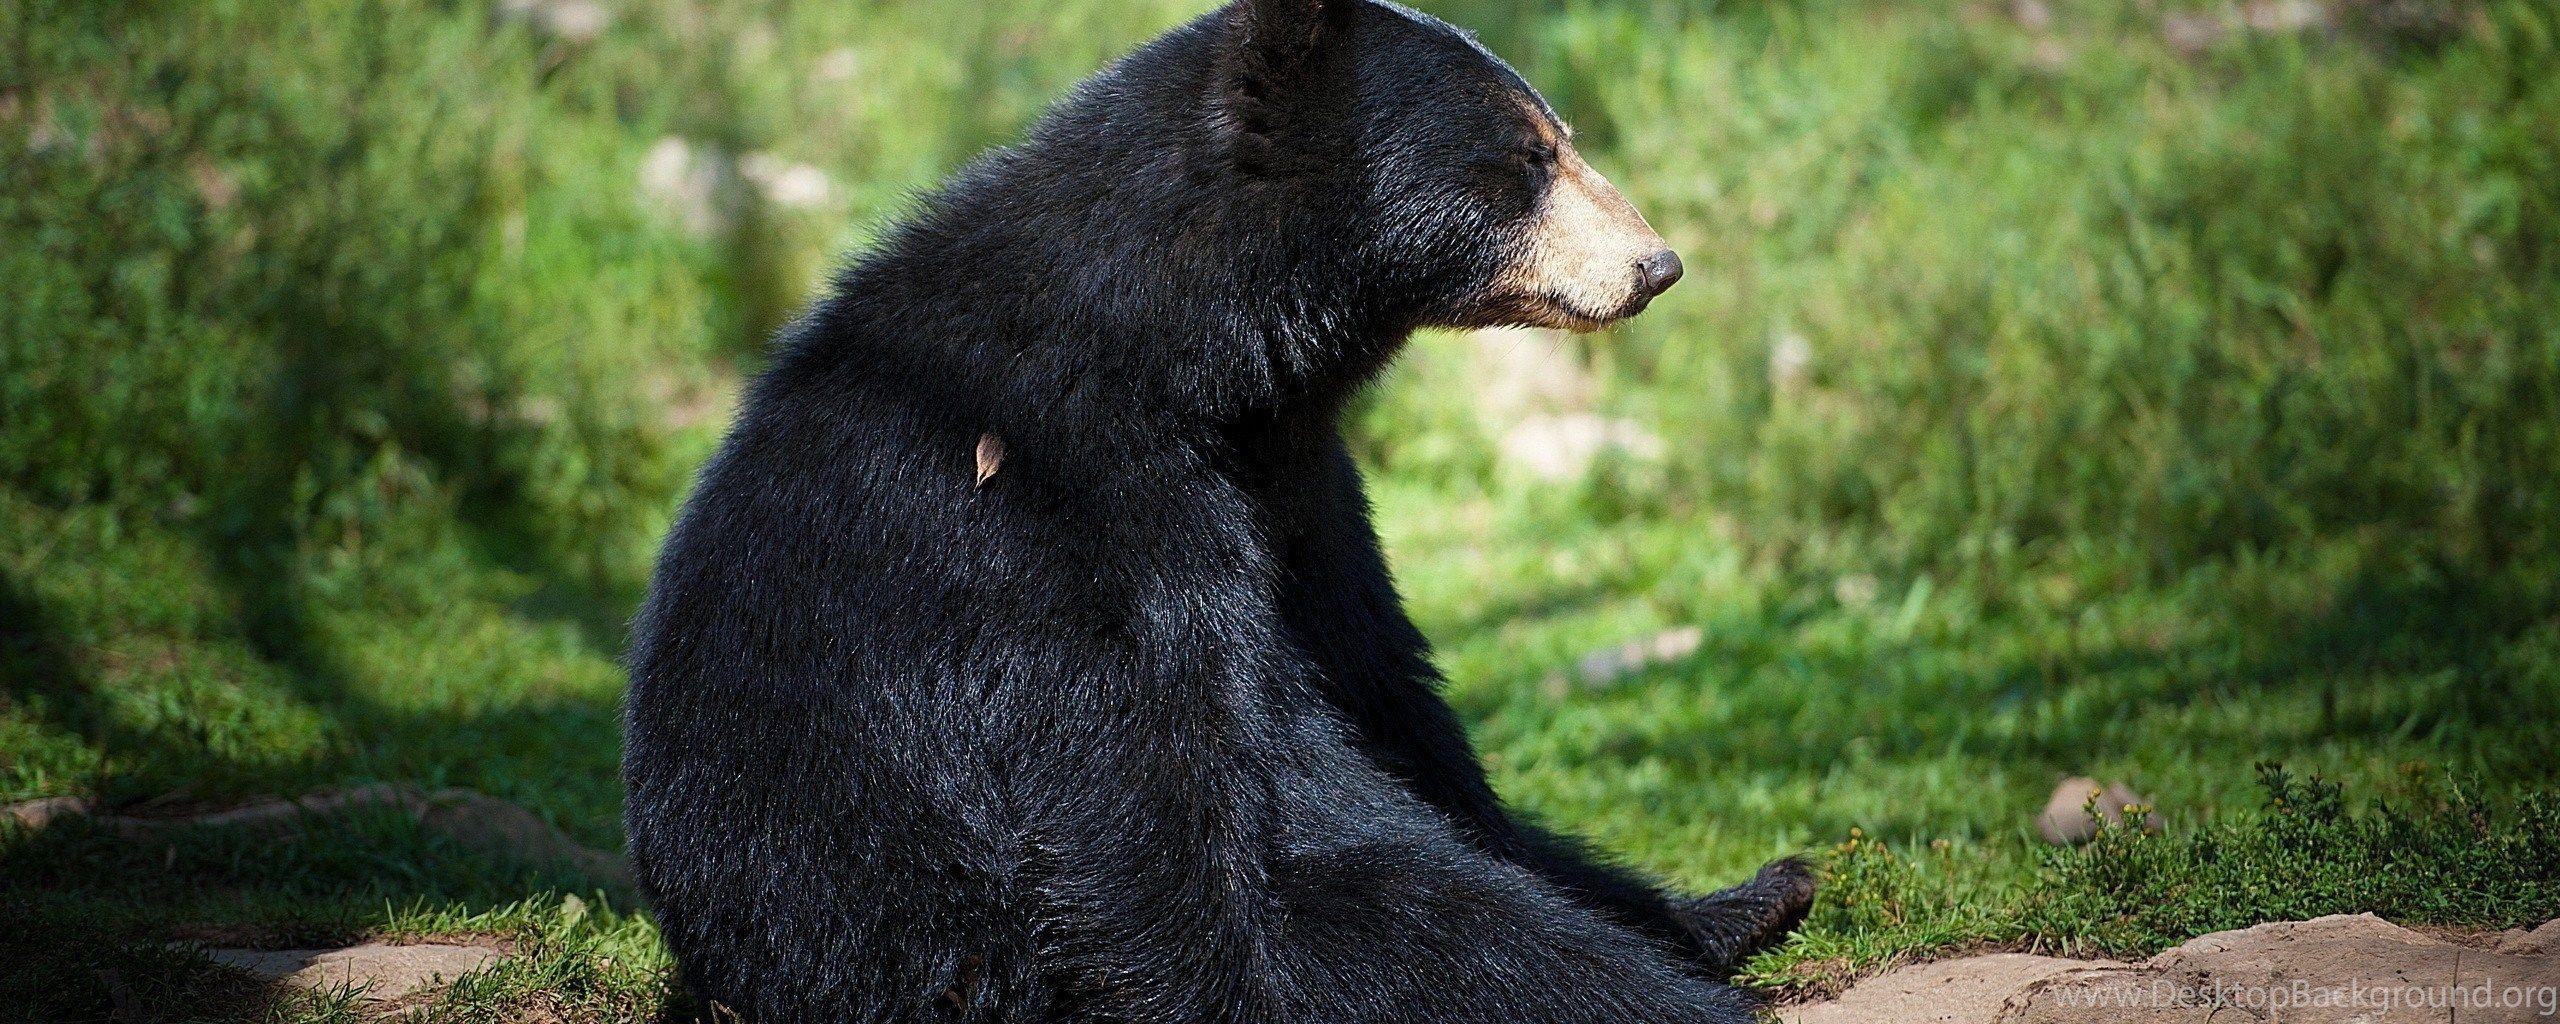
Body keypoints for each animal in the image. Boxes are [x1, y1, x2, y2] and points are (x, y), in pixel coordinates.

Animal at [622, 1, 1816, 1021]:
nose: (1656, 263)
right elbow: (1163, 826)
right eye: (1530, 156)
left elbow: (1390, 700)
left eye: (1555, 136)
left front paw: (1716, 902)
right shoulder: (1061, 521)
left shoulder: (1298, 489)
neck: (1189, 353)